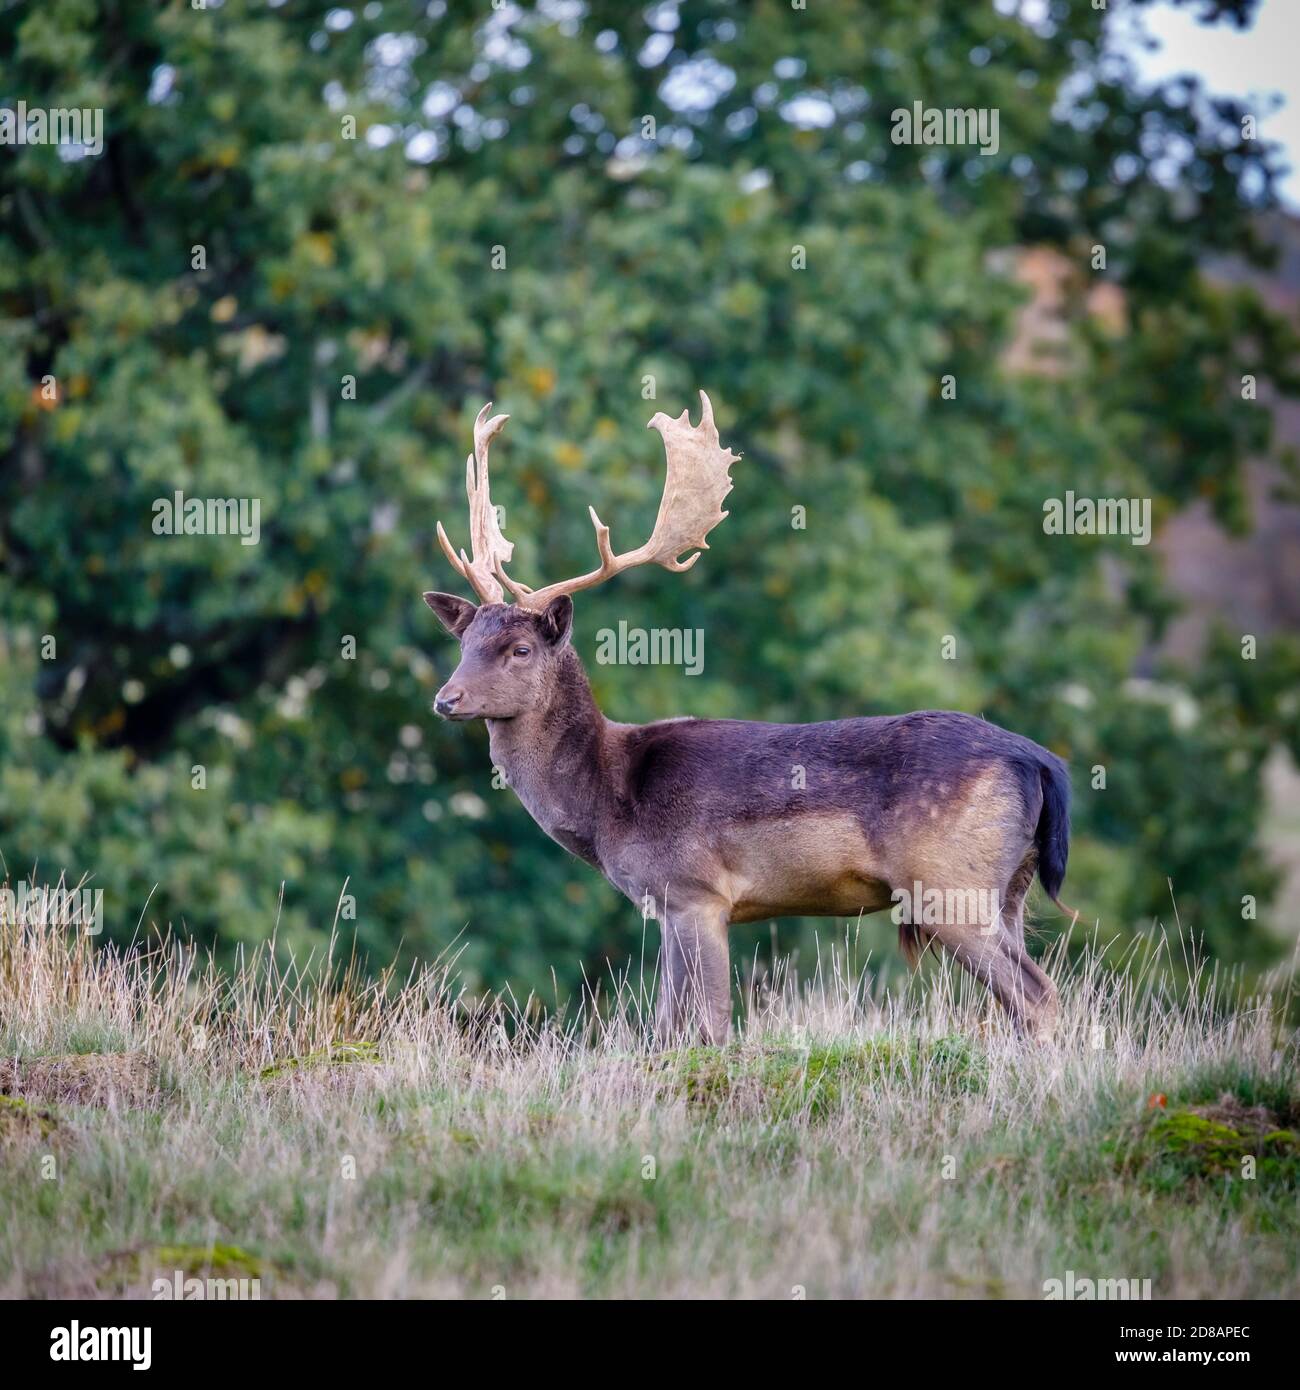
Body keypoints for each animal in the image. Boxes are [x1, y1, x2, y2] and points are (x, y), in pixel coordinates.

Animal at [423, 393, 1072, 1045]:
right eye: (464, 642)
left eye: (520, 649)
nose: (446, 699)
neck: (608, 800)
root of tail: (1042, 761)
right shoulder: (667, 903)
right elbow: (666, 1026)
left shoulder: (697, 890)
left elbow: (708, 1026)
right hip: (1008, 889)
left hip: (948, 881)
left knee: (1039, 995)